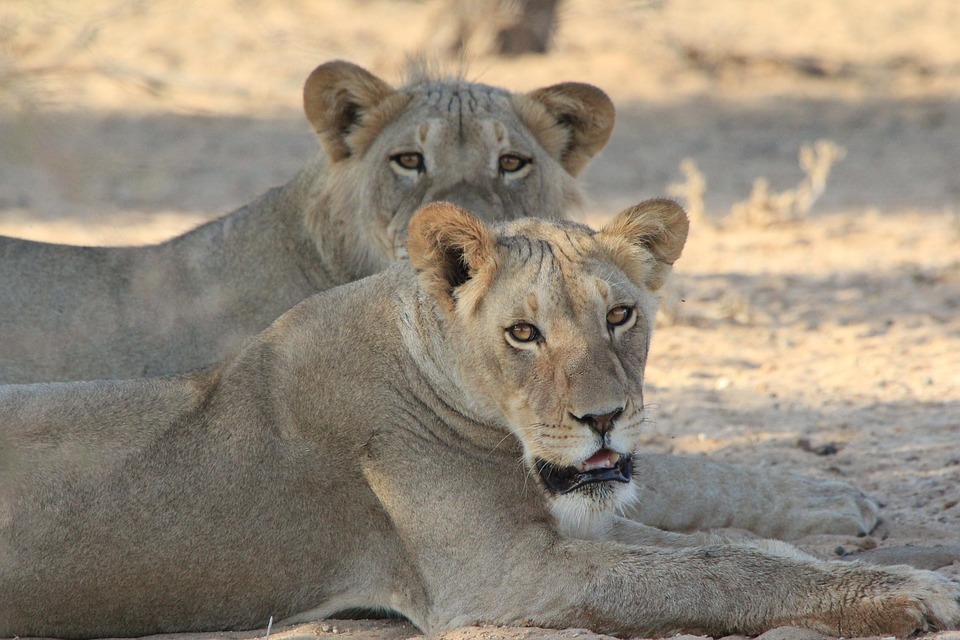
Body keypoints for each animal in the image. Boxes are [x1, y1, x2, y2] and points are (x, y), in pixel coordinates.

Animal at [2, 200, 956, 639]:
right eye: (523, 332)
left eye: (621, 315)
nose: (606, 419)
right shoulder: (502, 578)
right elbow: (715, 572)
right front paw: (909, 593)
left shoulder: (563, 527)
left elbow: (731, 549)